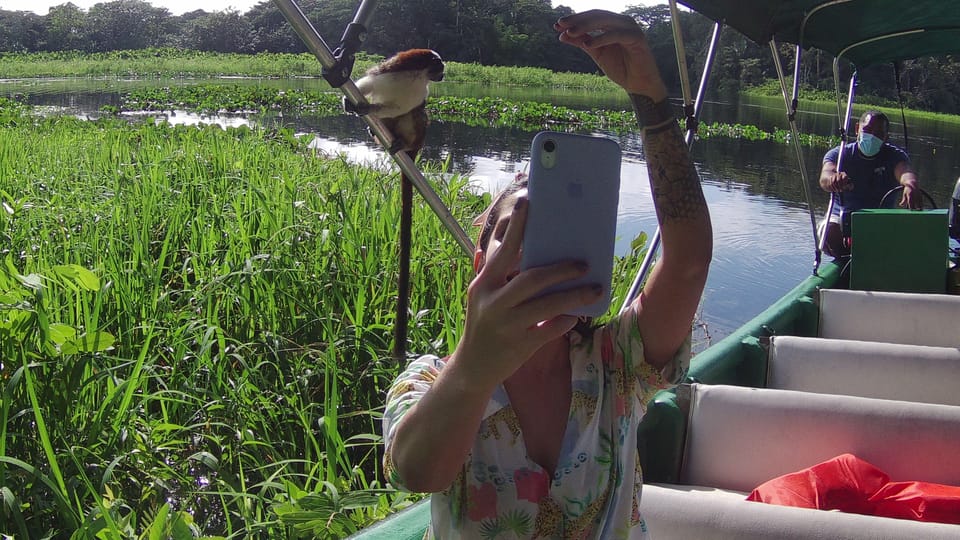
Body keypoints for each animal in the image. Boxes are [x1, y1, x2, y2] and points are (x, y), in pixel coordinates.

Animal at [345, 49, 444, 362]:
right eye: (439, 68)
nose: (444, 75)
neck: (414, 75)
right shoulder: (389, 73)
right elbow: (366, 84)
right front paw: (352, 101)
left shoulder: (418, 92)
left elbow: (401, 107)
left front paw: (374, 110)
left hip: (417, 138)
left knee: (416, 116)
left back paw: (403, 143)